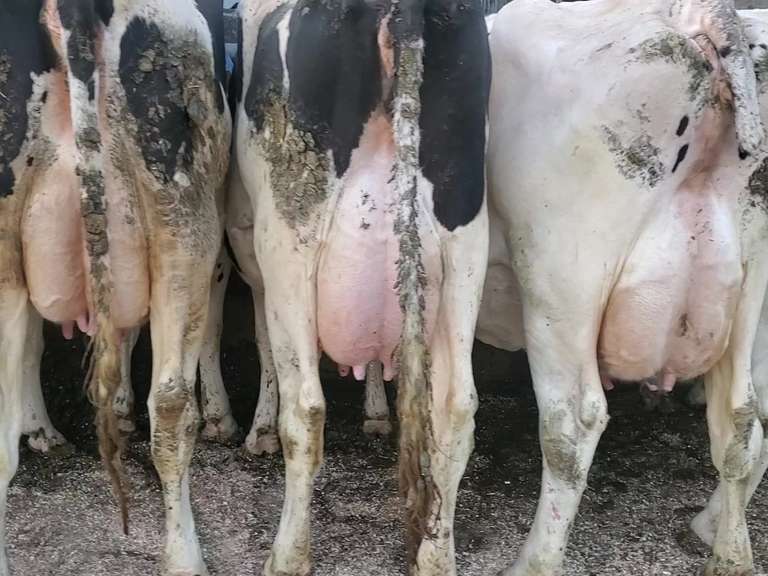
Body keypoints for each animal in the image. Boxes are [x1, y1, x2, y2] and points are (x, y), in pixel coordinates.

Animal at [235, 0, 490, 574]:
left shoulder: (249, 245)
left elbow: (260, 337)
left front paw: (258, 431)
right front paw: (376, 410)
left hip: (288, 238)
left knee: (307, 408)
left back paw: (287, 554)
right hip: (466, 239)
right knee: (457, 406)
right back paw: (435, 557)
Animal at [481, 0, 768, 574]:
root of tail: (694, 19)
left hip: (562, 279)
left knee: (573, 423)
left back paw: (534, 561)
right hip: (746, 284)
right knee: (742, 418)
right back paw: (727, 551)